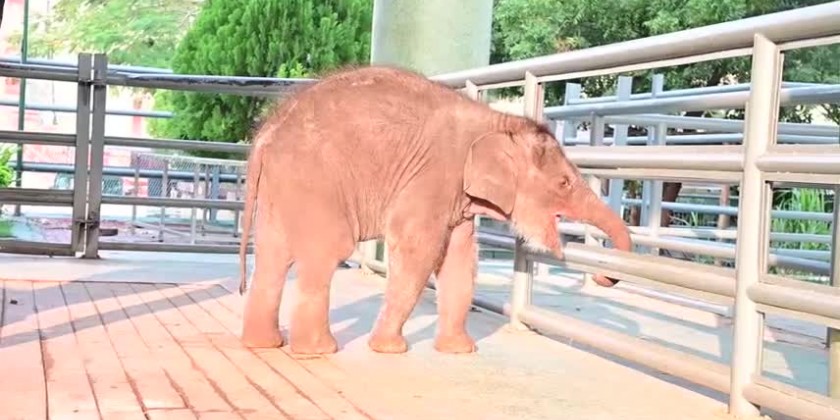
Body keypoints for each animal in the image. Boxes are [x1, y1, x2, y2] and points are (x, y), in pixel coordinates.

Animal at [237, 65, 632, 355]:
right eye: (564, 183)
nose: (605, 278)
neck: (496, 121)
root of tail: (265, 136)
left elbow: (460, 257)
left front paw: (461, 352)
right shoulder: (434, 175)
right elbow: (418, 249)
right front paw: (390, 350)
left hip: (281, 189)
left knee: (272, 256)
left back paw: (265, 344)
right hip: (315, 181)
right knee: (326, 251)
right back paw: (319, 351)